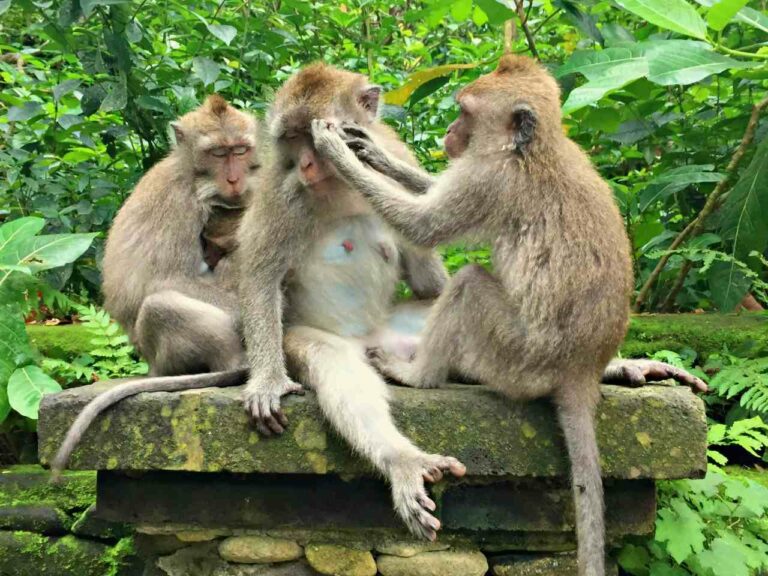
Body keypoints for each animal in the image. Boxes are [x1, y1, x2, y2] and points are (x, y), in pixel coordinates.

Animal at [50, 96, 260, 477]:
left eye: (239, 149)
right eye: (218, 153)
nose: (235, 179)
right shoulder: (181, 202)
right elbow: (165, 279)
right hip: (161, 352)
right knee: (159, 305)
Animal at [237, 63, 464, 541]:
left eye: (313, 135)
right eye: (292, 137)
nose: (306, 163)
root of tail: (375, 340)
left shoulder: (396, 159)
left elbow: (427, 276)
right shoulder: (281, 189)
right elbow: (261, 275)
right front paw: (266, 383)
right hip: (313, 338)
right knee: (340, 369)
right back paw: (404, 461)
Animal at [309, 55, 688, 575]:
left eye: (464, 111)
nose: (450, 131)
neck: (531, 148)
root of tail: (580, 370)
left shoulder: (489, 179)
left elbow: (423, 226)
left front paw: (338, 153)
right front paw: (369, 150)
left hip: (517, 356)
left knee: (469, 284)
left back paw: (417, 375)